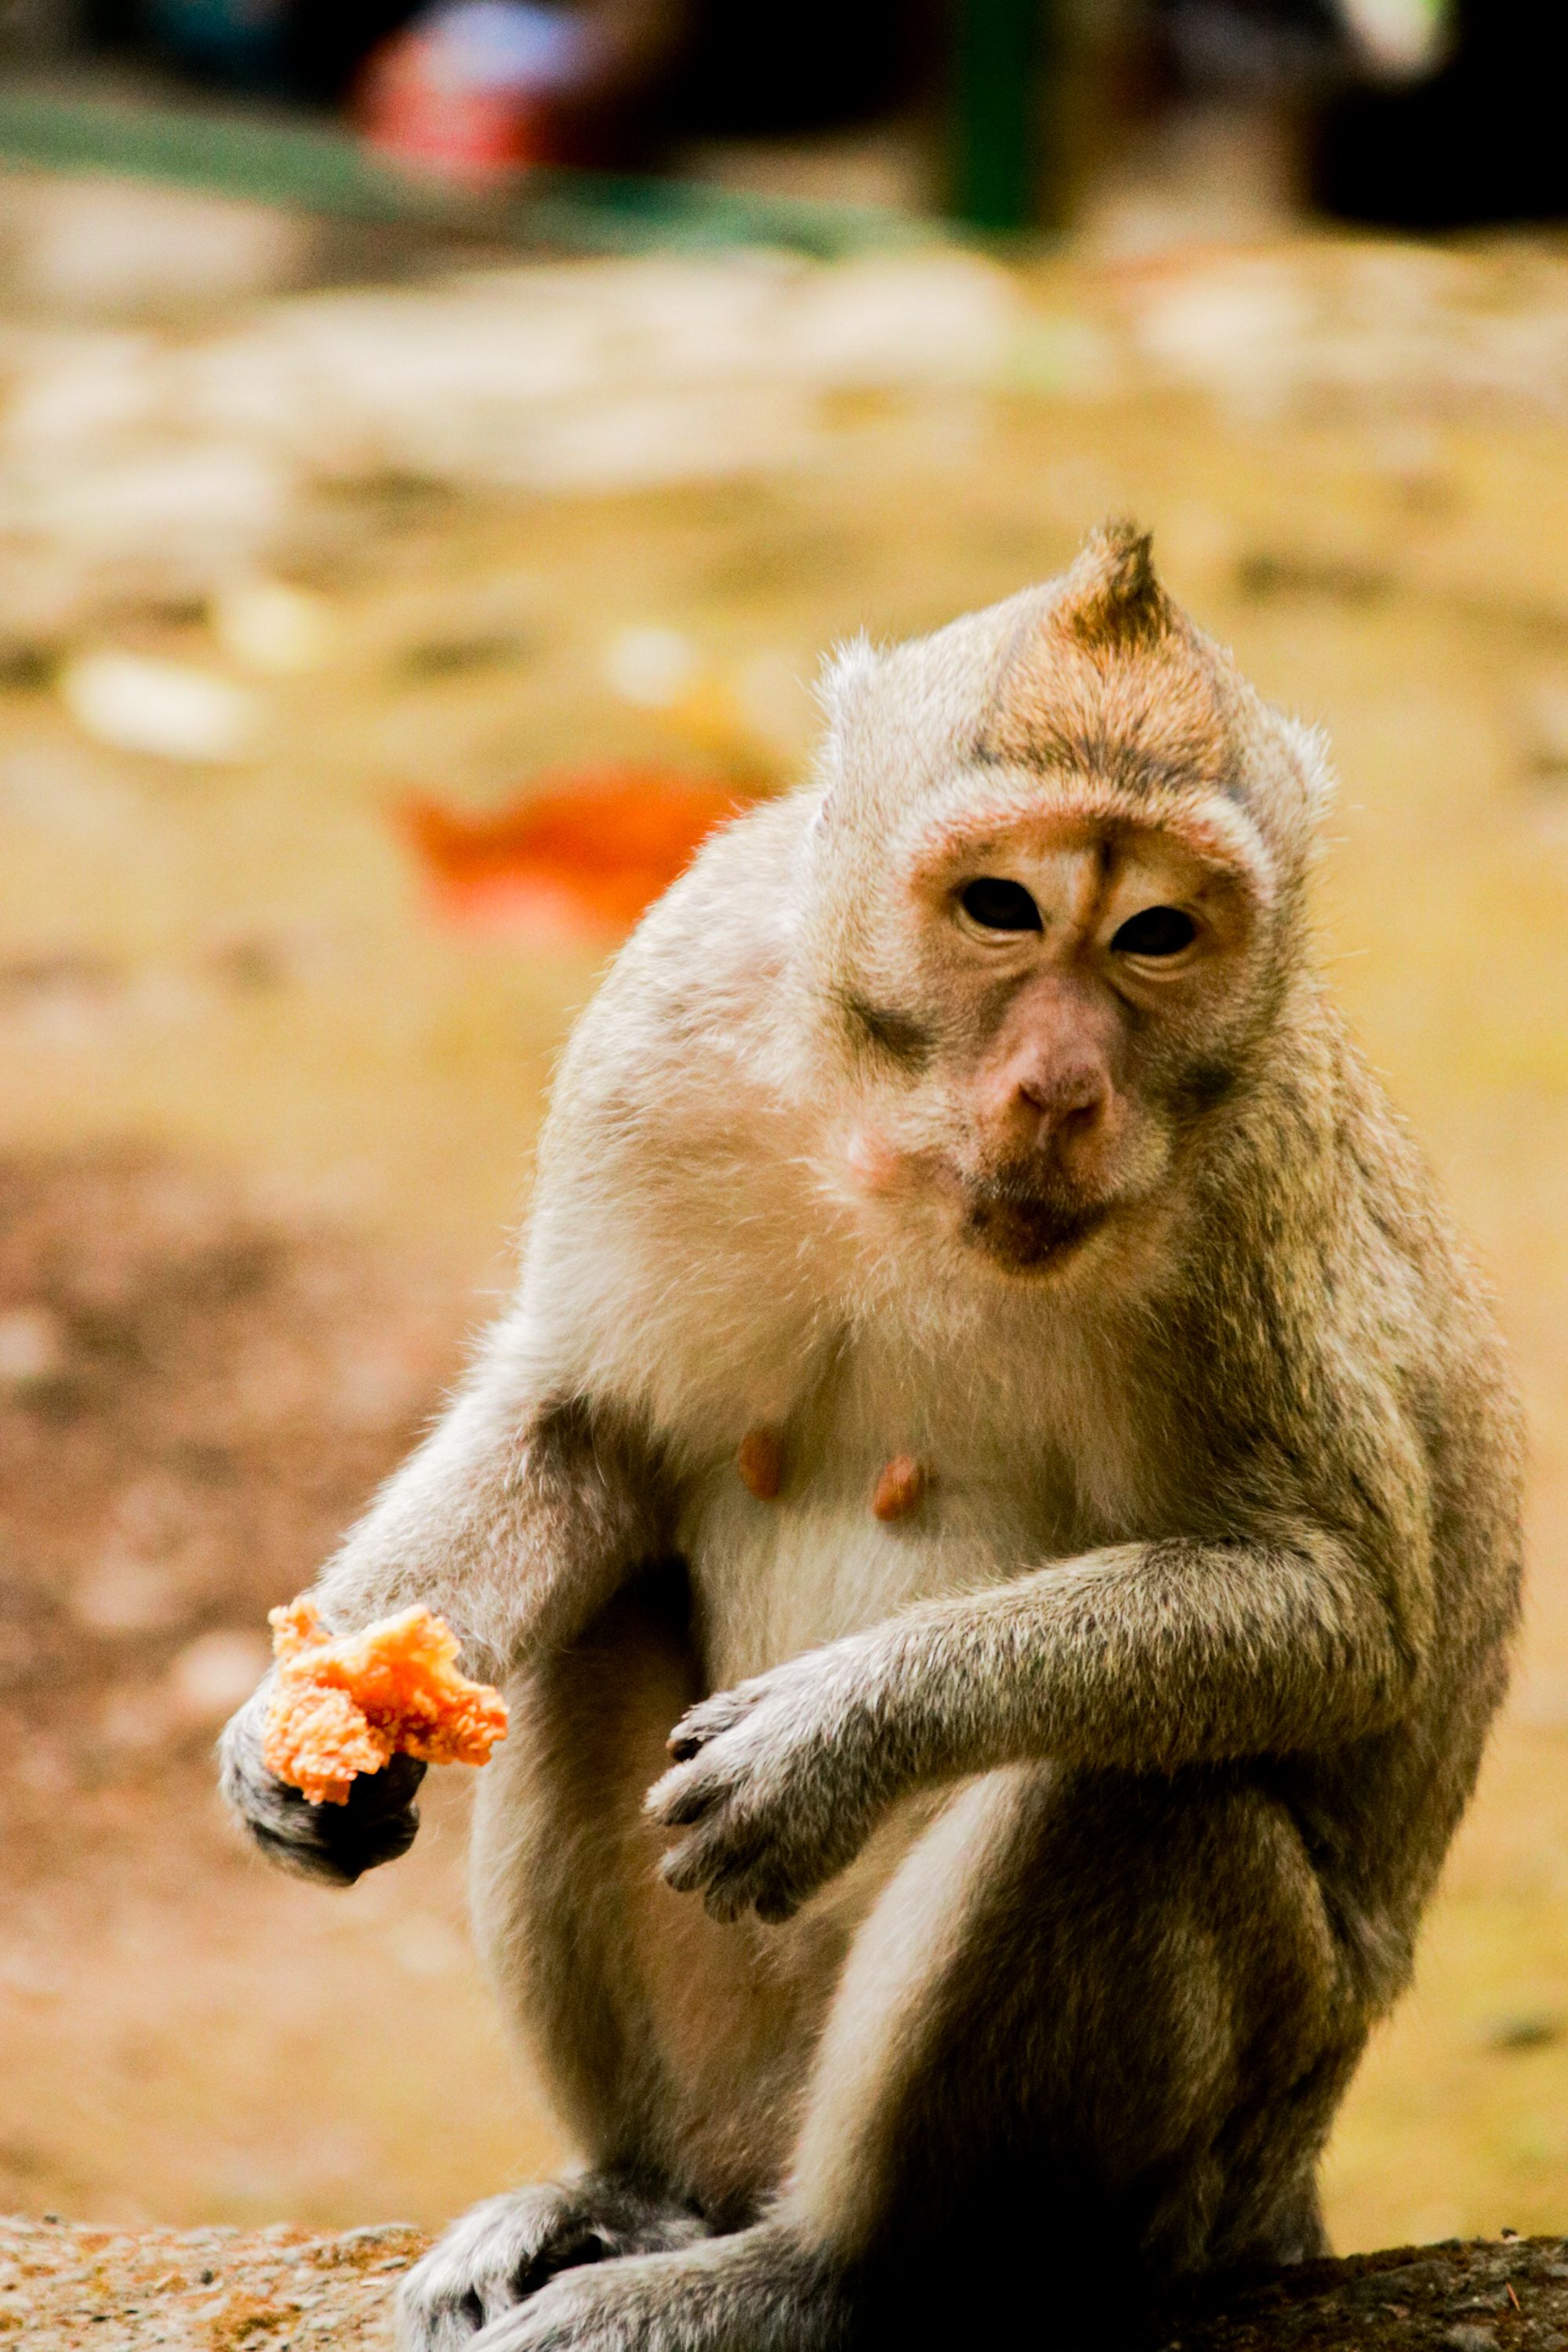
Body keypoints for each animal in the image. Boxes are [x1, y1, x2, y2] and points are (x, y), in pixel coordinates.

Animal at [220, 524, 1523, 2352]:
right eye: (1001, 906)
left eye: (1159, 934)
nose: (1058, 1088)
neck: (912, 1157)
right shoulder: (672, 1005)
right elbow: (588, 1426)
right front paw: (304, 1716)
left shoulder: (1248, 1198)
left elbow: (1341, 1609)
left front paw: (843, 1734)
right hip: (749, 2058)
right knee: (599, 1615)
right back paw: (640, 2195)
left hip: (1210, 2150)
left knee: (1125, 1787)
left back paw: (811, 2274)